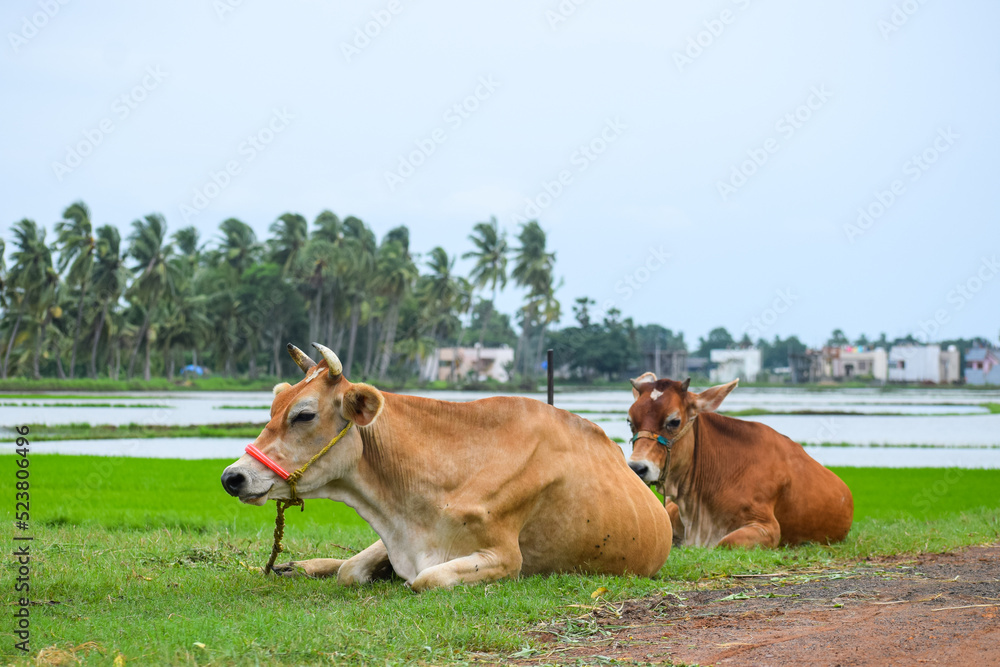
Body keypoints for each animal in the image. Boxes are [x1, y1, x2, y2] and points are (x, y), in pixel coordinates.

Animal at [220, 343, 671, 591]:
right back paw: (296, 566)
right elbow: (350, 569)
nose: (232, 476)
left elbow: (426, 579)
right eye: (273, 409)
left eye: (304, 415)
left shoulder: (505, 558)